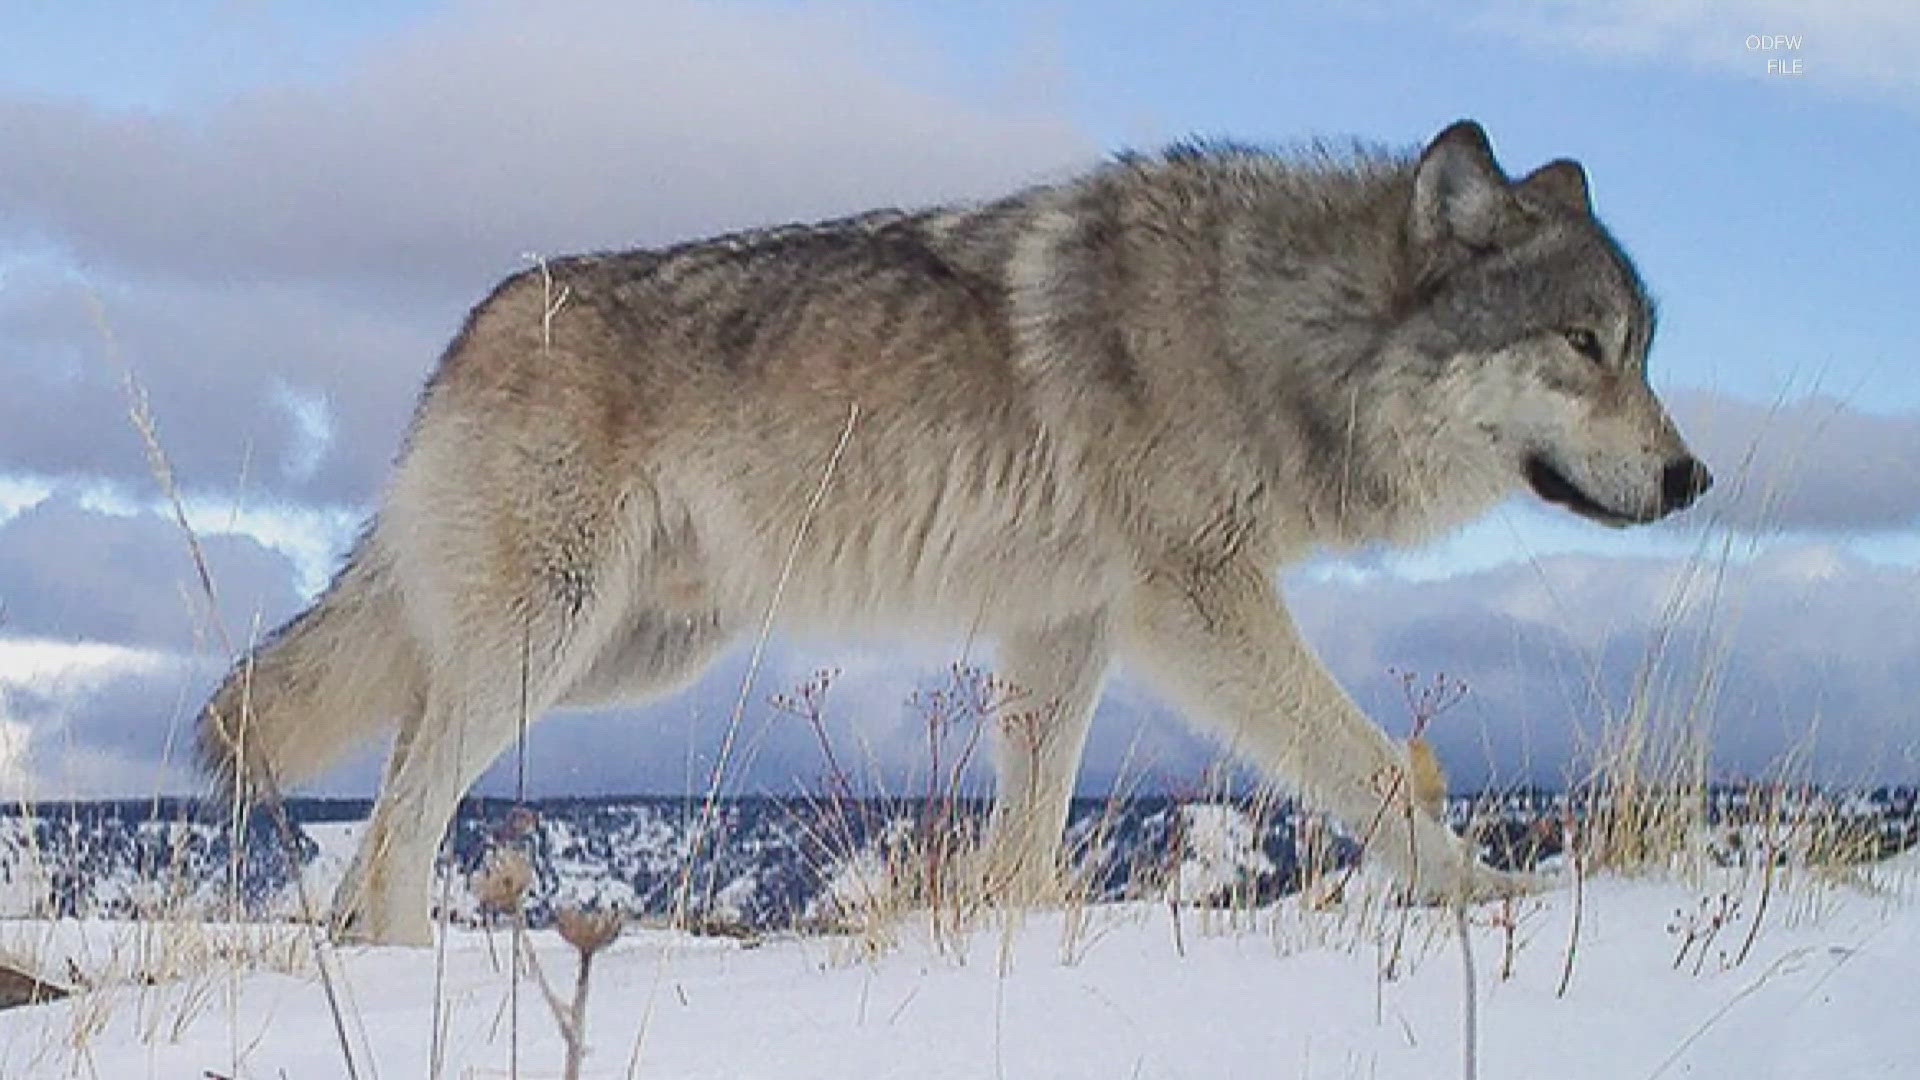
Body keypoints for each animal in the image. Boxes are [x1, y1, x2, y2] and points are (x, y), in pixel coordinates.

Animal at [201, 120, 1709, 946]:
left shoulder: (1069, 630)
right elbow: (1378, 769)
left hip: (610, 656)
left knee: (391, 772)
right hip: (552, 643)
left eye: (1643, 349)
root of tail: (471, 324)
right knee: (404, 815)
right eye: (1587, 347)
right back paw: (407, 975)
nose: (1693, 477)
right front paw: (1487, 895)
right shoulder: (1196, 603)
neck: (1277, 325)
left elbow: (1029, 838)